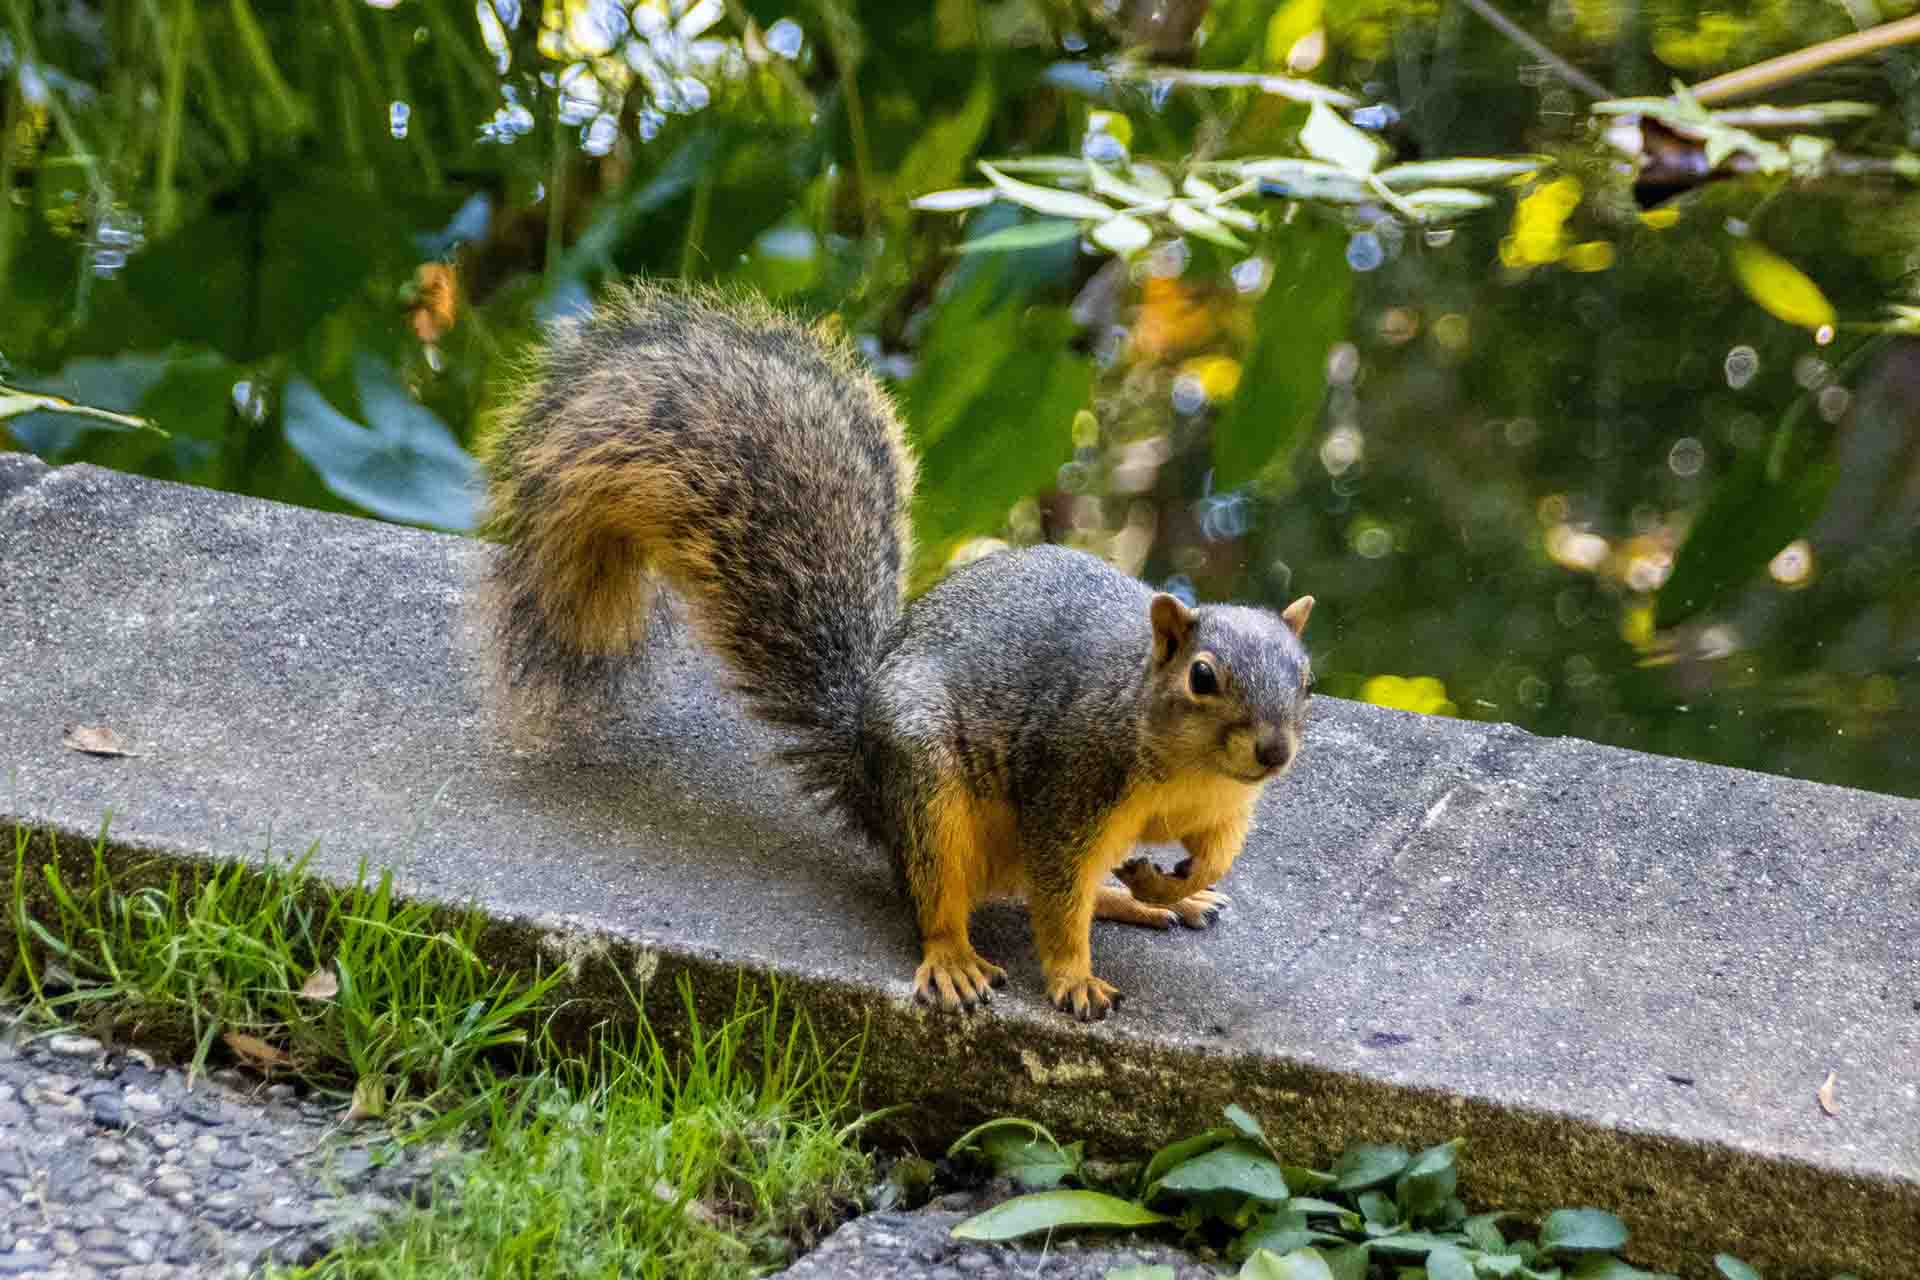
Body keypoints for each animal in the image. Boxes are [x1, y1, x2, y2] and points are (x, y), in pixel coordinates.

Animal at [479, 282, 1315, 1021]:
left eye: (1305, 682)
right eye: (1202, 676)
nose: (1273, 751)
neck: (1186, 767)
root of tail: (864, 763)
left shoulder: (1223, 808)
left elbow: (1211, 853)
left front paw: (1167, 882)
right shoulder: (1071, 787)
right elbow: (1056, 901)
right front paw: (1075, 978)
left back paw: (1141, 899)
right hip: (929, 790)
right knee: (949, 896)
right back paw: (955, 960)